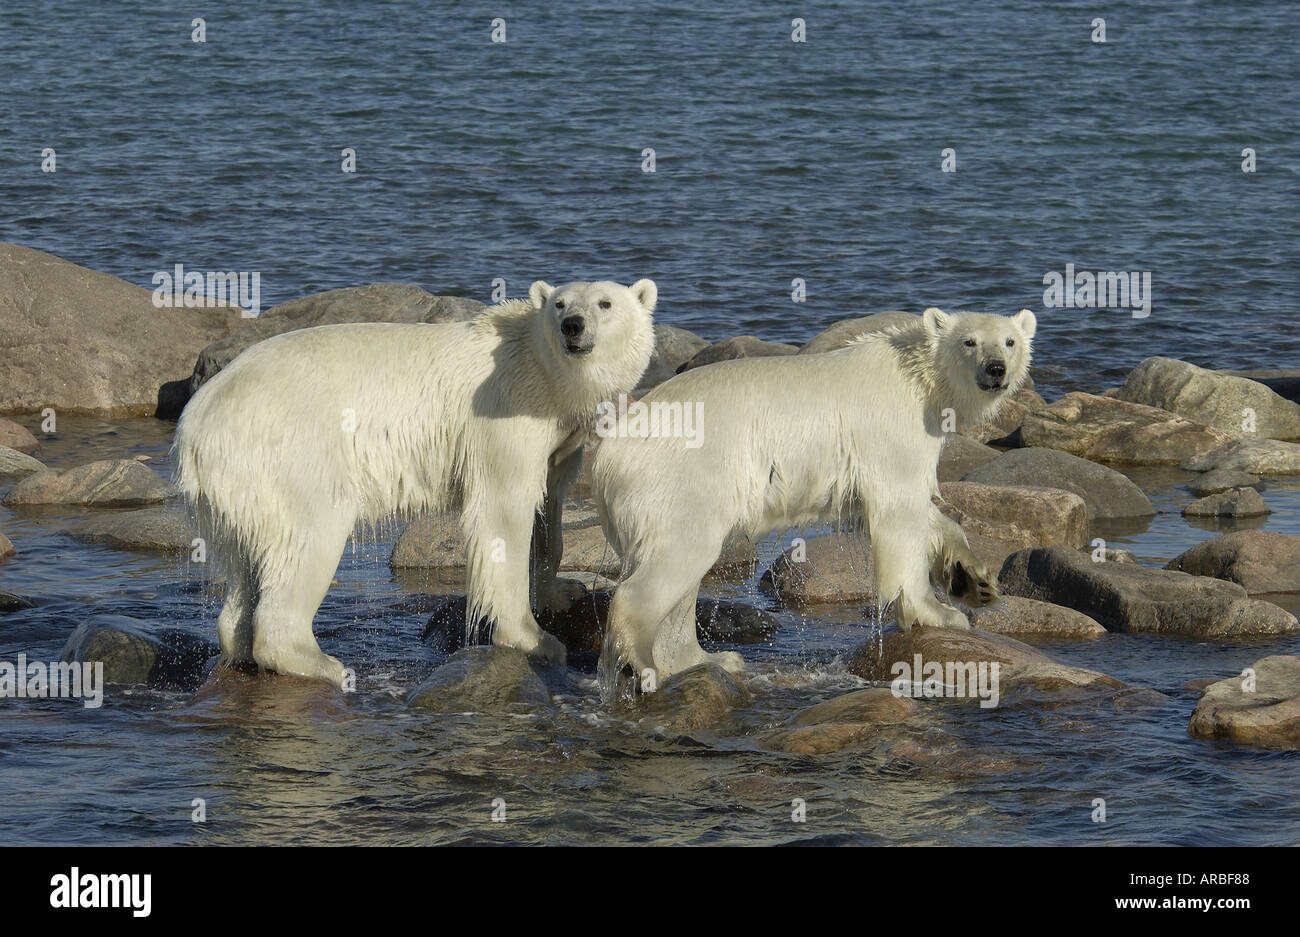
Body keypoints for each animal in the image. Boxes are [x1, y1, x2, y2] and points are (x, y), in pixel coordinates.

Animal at [173, 279, 657, 686]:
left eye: (605, 303)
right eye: (560, 304)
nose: (572, 326)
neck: (543, 372)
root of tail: (195, 422)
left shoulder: (560, 437)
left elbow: (549, 505)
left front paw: (561, 592)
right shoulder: (504, 413)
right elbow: (503, 507)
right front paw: (535, 640)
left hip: (235, 483)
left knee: (244, 558)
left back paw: (237, 644)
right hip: (289, 452)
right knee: (308, 536)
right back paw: (323, 664)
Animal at [591, 306, 1036, 687]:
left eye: (1010, 341)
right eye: (969, 342)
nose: (996, 369)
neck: (917, 379)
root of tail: (608, 456)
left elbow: (911, 513)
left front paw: (972, 581)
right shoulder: (892, 433)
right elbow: (898, 510)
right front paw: (939, 612)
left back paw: (707, 660)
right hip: (683, 475)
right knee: (677, 559)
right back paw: (640, 664)